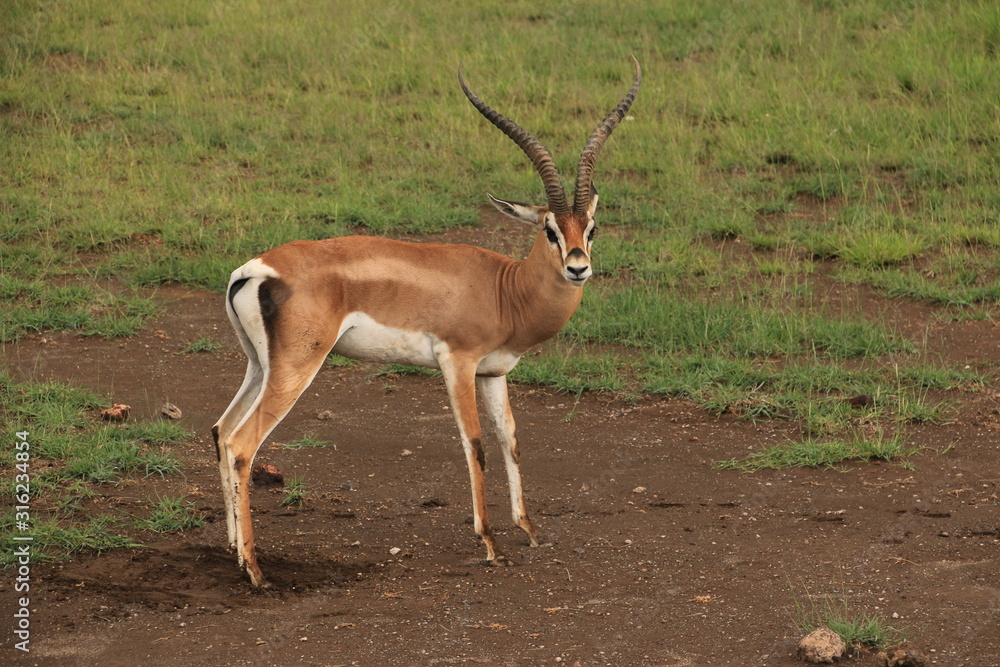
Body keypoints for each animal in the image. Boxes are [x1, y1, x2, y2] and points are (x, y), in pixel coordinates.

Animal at [212, 57, 641, 586]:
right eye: (549, 229)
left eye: (591, 228)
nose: (578, 267)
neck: (504, 289)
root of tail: (254, 270)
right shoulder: (457, 361)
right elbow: (475, 444)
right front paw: (490, 544)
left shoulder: (494, 372)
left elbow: (510, 441)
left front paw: (529, 530)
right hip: (295, 368)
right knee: (243, 444)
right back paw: (255, 571)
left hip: (260, 366)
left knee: (222, 431)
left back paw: (233, 552)